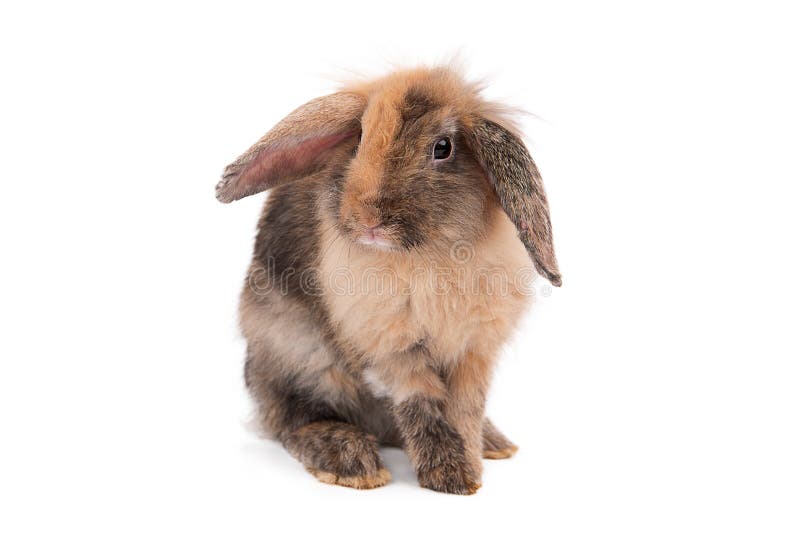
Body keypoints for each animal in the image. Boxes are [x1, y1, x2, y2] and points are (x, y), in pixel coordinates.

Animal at [216, 66, 561, 494]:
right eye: (359, 139)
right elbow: (422, 404)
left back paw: (494, 443)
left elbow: (465, 409)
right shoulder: (393, 347)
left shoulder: (474, 349)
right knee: (293, 418)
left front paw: (467, 466)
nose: (368, 220)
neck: (426, 256)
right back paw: (350, 461)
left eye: (443, 148)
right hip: (299, 357)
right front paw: (452, 477)